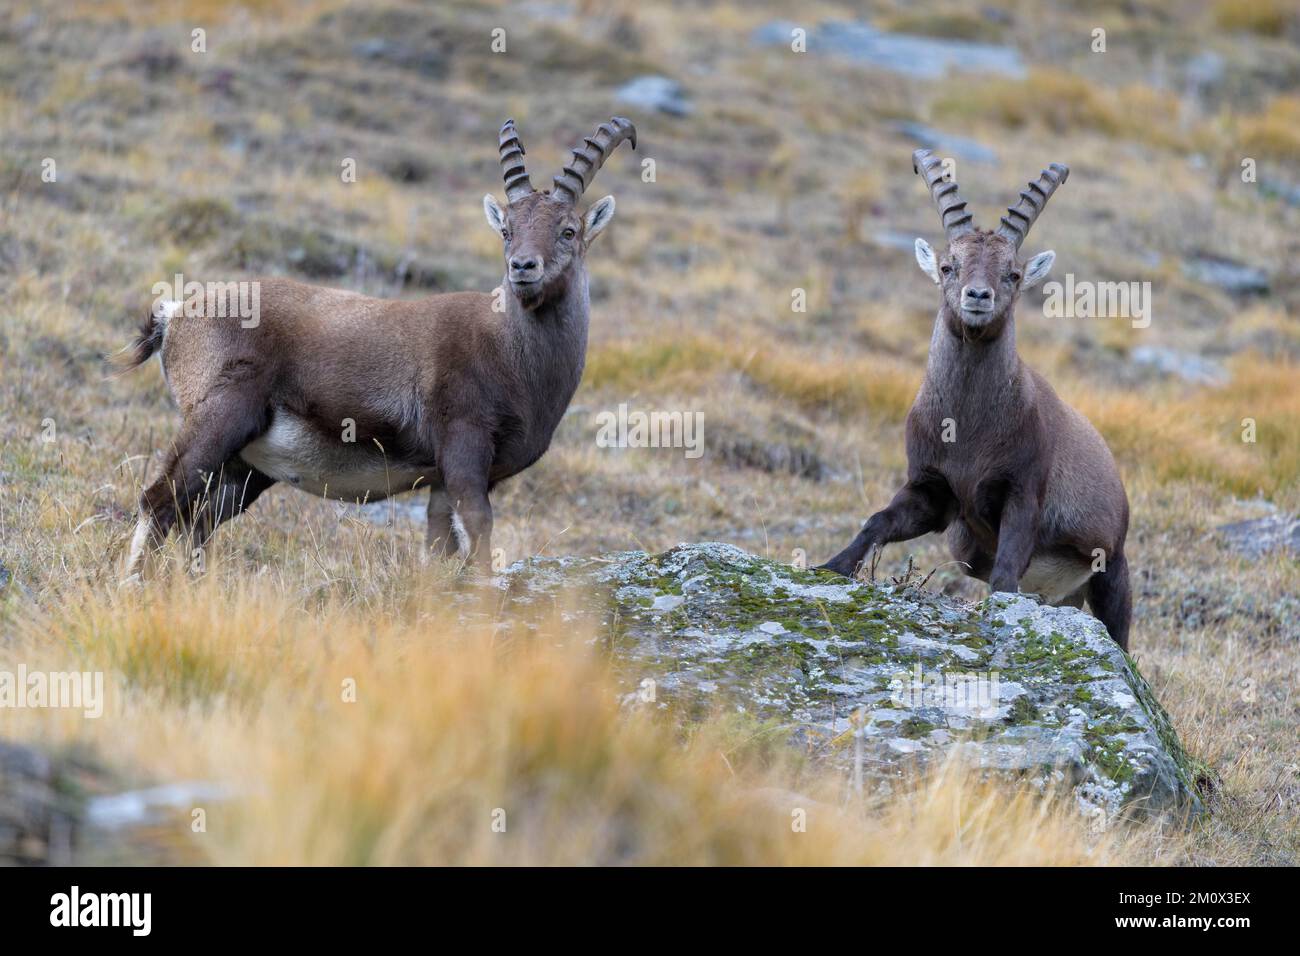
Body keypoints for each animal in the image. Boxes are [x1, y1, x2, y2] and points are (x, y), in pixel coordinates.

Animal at [117, 117, 637, 579]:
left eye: (568, 230)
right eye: (506, 229)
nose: (523, 267)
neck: (510, 350)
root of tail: (176, 315)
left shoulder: (442, 479)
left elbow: (440, 549)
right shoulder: (464, 446)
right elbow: (479, 530)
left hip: (244, 467)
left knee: (197, 521)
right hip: (218, 418)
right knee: (158, 501)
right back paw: (132, 585)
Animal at [819, 149, 1132, 648]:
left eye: (1013, 273)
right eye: (949, 265)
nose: (978, 295)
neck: (967, 428)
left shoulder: (1022, 495)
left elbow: (1005, 576)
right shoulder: (933, 492)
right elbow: (879, 520)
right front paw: (830, 566)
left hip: (1112, 568)